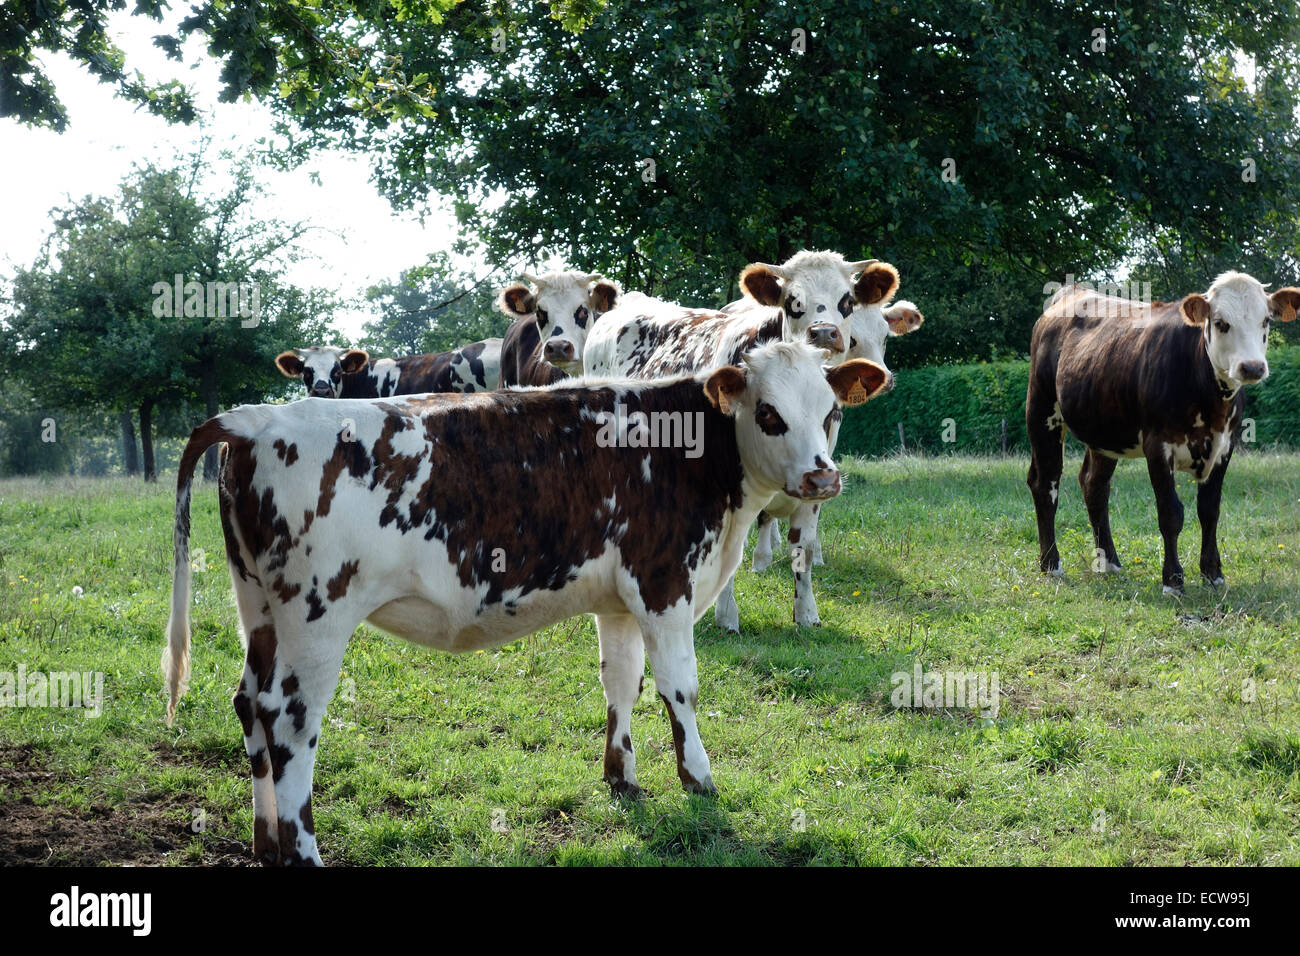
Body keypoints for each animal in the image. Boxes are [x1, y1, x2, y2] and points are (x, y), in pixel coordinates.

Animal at [584, 250, 910, 628]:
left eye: (847, 301)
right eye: (793, 301)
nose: (824, 333)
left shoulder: (816, 478)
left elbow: (803, 548)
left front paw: (806, 613)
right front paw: (726, 614)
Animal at [1026, 271, 1300, 594]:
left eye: (1265, 321)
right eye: (1221, 322)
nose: (1253, 367)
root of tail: (1070, 292)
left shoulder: (1225, 445)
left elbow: (1210, 510)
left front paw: (1213, 573)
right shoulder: (1158, 444)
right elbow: (1170, 513)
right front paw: (1172, 580)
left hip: (1105, 429)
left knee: (1094, 486)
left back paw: (1109, 562)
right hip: (1042, 411)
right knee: (1046, 483)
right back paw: (1051, 564)